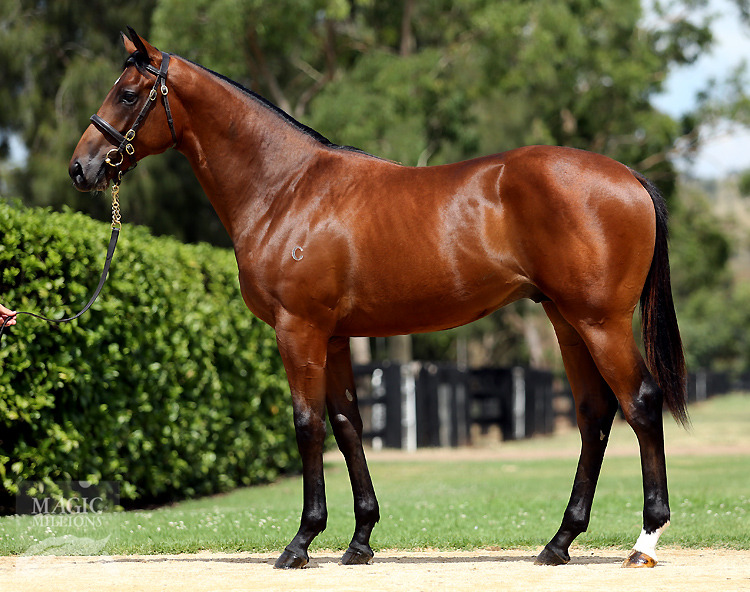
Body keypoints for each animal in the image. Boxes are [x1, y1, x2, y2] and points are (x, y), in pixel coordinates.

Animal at [69, 28, 687, 570]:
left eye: (127, 94)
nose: (82, 167)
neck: (286, 188)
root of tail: (629, 177)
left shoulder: (299, 329)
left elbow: (307, 425)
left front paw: (301, 543)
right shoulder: (335, 336)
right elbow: (348, 424)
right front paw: (360, 540)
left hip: (600, 321)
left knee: (640, 402)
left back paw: (644, 542)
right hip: (565, 319)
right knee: (594, 413)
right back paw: (559, 542)